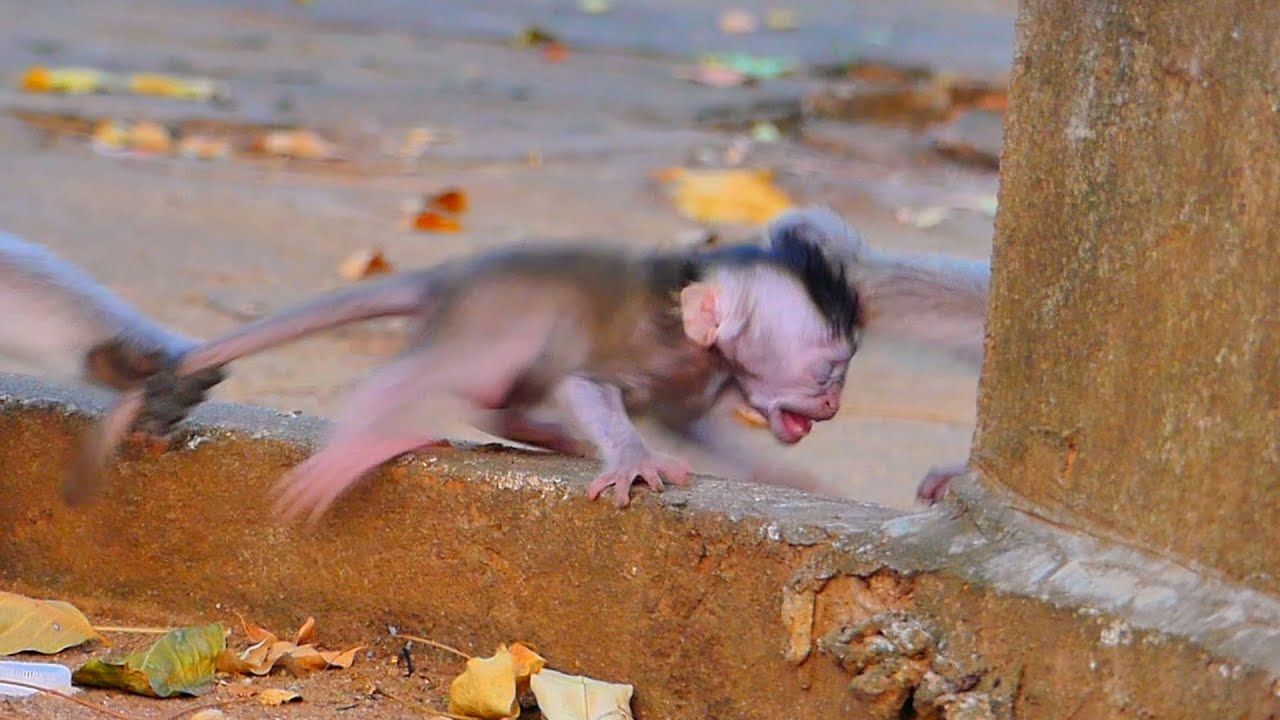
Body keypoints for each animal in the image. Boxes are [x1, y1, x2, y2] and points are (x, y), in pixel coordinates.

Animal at [65, 213, 861, 520]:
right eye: (826, 372)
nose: (831, 406)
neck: (692, 334)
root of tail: (449, 278)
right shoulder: (642, 347)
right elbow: (587, 384)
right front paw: (633, 460)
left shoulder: (696, 379)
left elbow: (694, 427)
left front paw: (790, 480)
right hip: (486, 322)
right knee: (445, 377)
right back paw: (361, 442)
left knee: (495, 398)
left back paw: (544, 433)